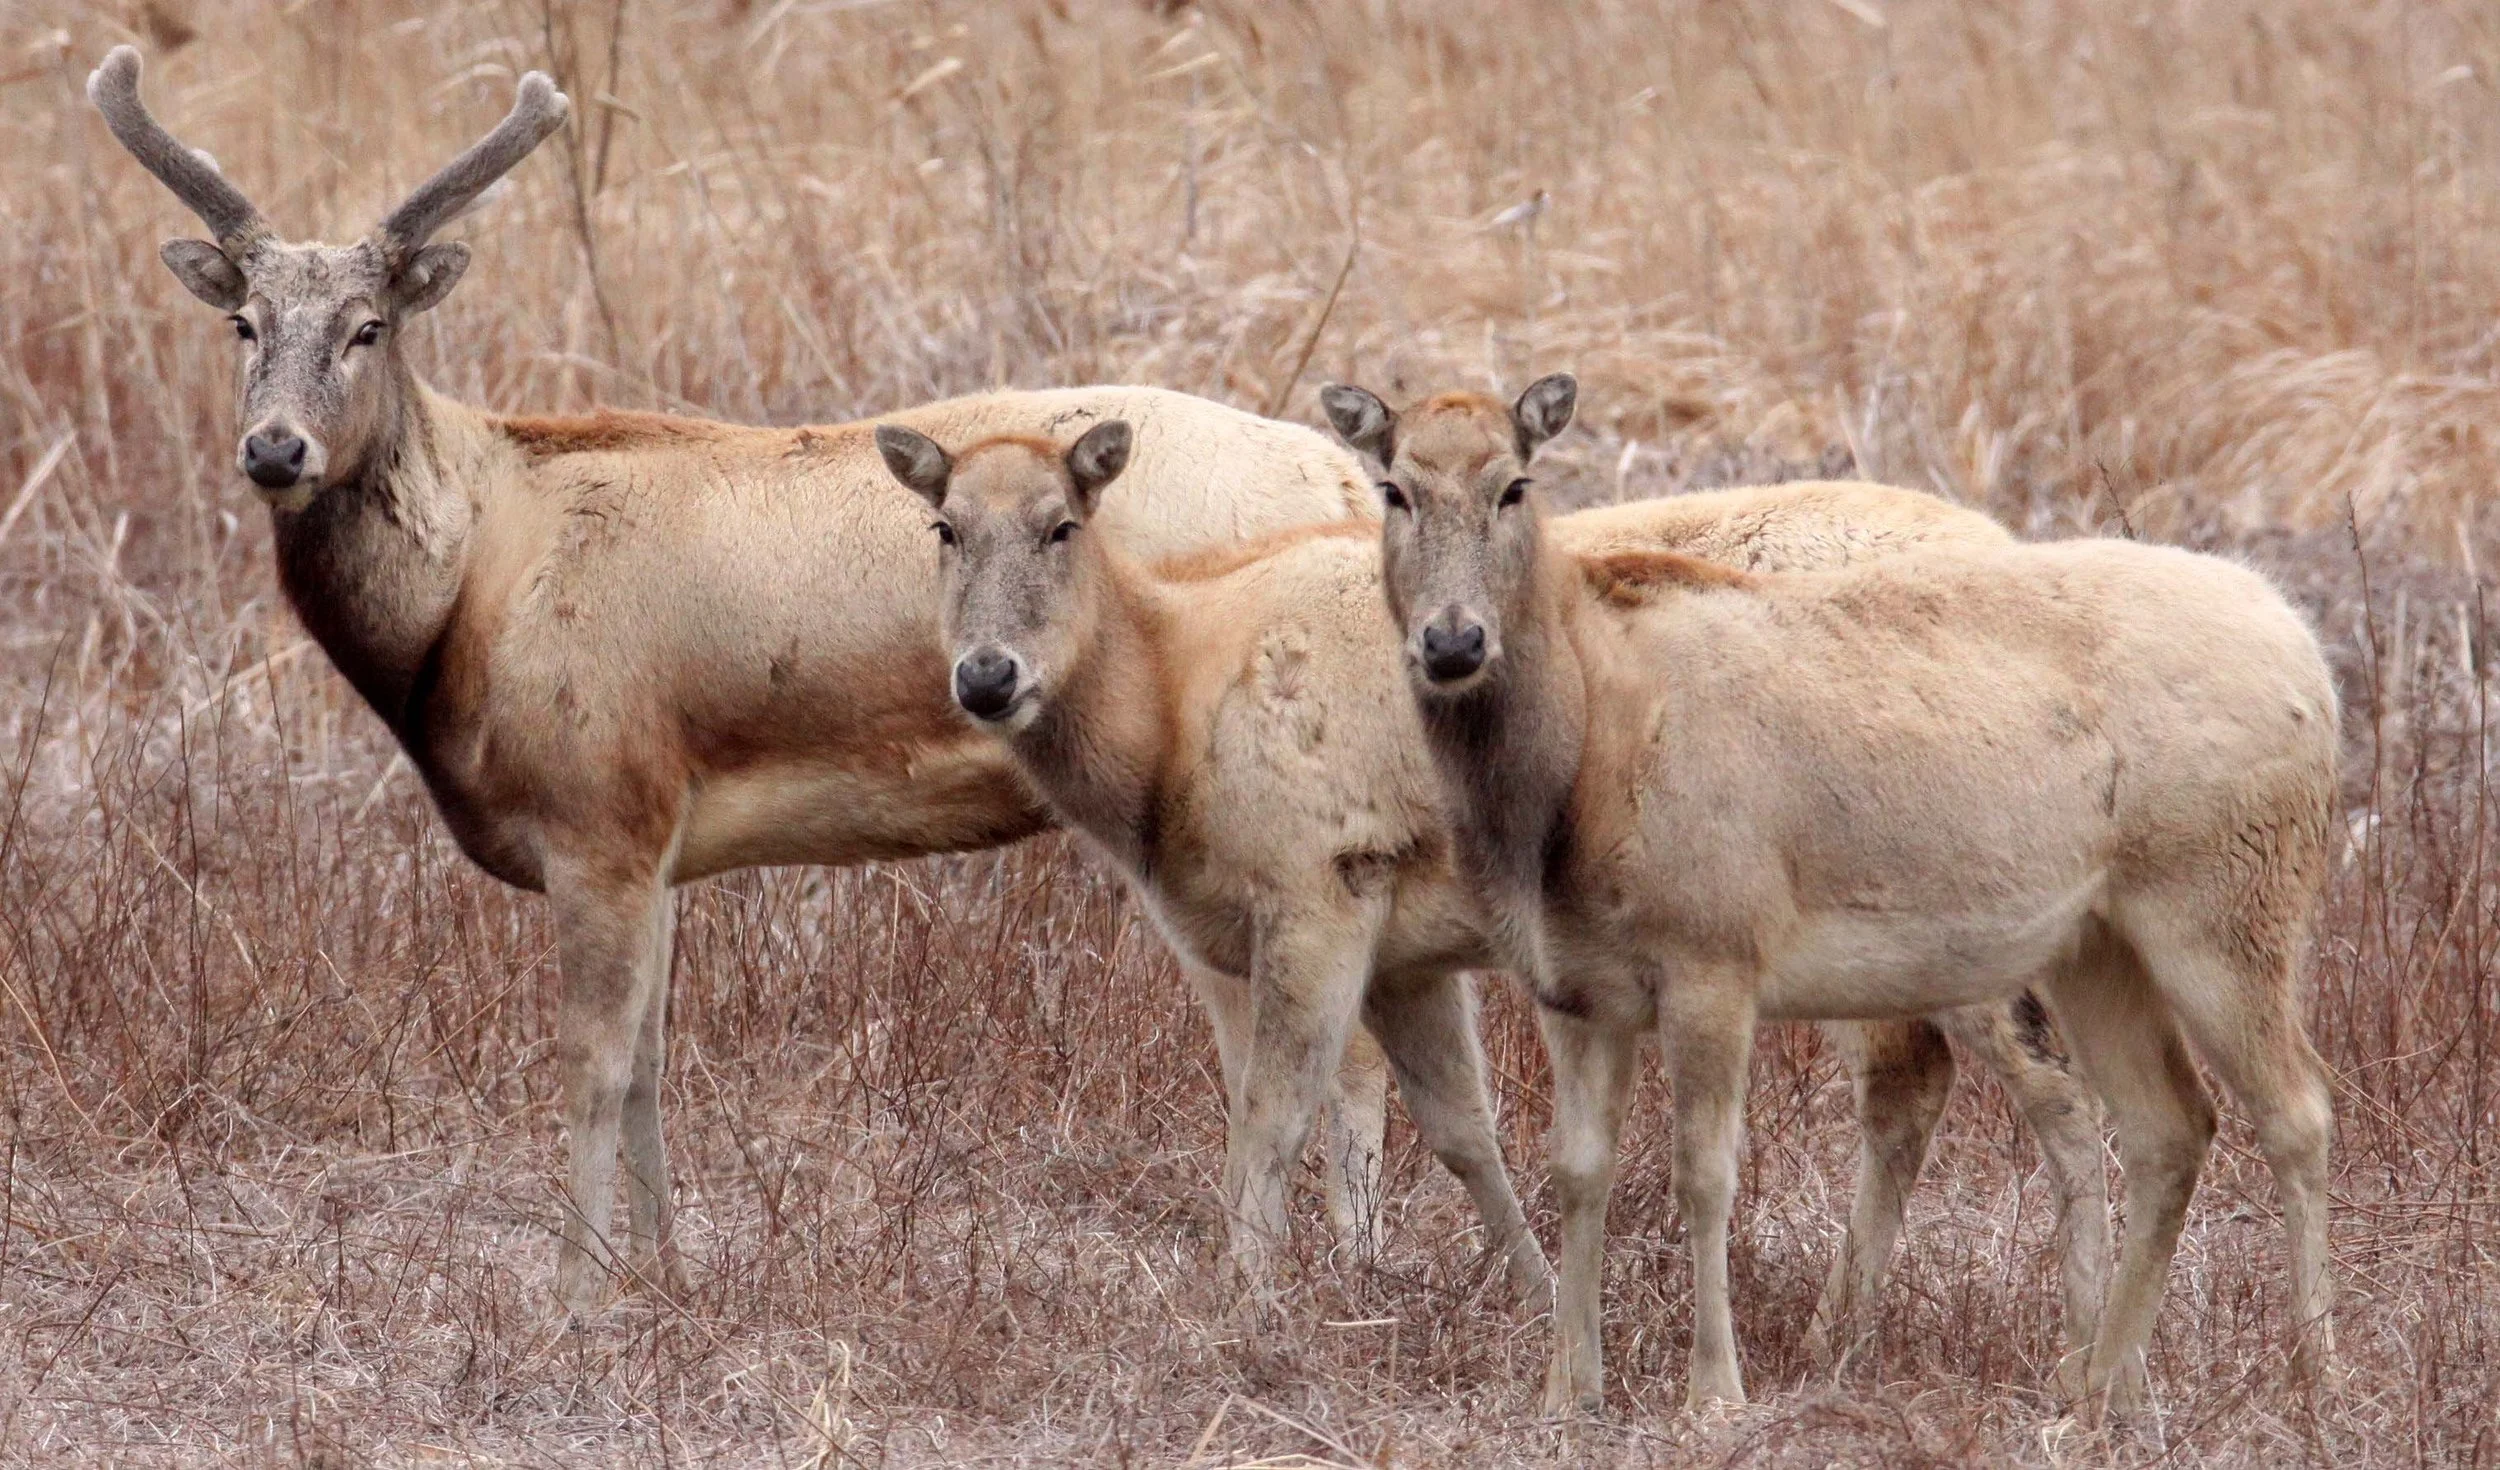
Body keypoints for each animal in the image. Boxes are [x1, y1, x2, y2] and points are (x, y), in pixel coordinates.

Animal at [87, 46, 1409, 1320]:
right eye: (244, 323)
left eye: (369, 326)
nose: (275, 449)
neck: (474, 586)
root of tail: (1345, 478)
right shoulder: (656, 832)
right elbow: (651, 1065)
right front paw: (664, 1275)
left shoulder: (597, 803)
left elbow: (590, 1064)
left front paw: (571, 1300)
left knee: (1334, 1052)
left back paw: (1346, 1277)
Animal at [872, 419, 2109, 1353]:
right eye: (943, 527)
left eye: (1062, 524)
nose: (986, 677)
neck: (1173, 713)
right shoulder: (1404, 950)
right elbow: (1462, 1128)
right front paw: (1533, 1294)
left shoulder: (1320, 880)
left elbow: (1271, 1119)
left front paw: (1246, 1311)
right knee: (1920, 1079)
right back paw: (1841, 1332)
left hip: (1945, 879)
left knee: (2046, 1089)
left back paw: (2075, 1344)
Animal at [1334, 373, 2338, 1418]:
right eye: (1395, 489)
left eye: (1515, 485)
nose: (1453, 640)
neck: (1572, 783)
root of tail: (2313, 664)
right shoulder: (1569, 987)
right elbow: (1576, 1172)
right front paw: (1567, 1390)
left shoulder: (1715, 952)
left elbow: (1706, 1174)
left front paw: (1715, 1392)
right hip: (2097, 946)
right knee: (2168, 1127)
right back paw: (2100, 1390)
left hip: (2228, 900)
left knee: (2298, 1108)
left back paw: (2314, 1374)